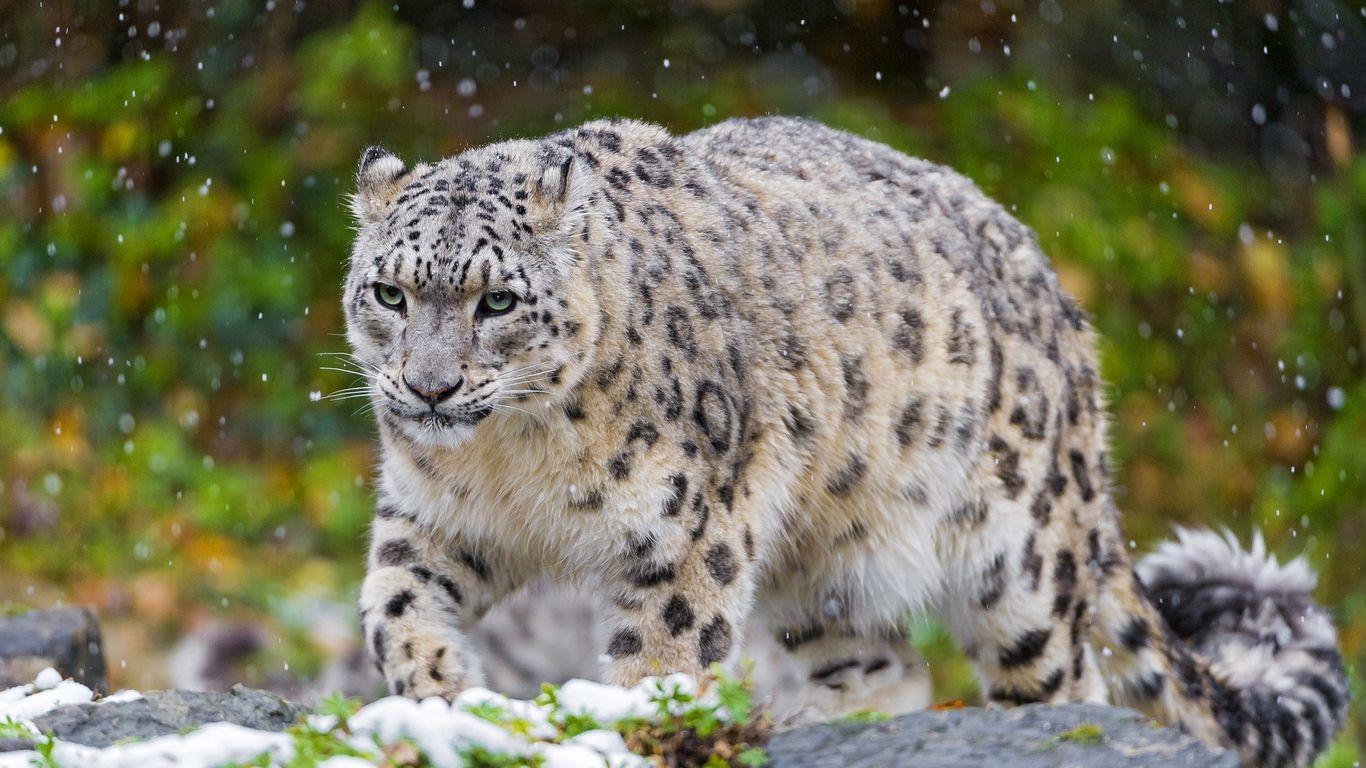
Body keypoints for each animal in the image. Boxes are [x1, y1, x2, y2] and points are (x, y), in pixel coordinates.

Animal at [342, 116, 1347, 766]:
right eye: (389, 292)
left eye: (496, 300)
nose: (428, 386)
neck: (513, 461)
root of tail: (1064, 309)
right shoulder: (433, 517)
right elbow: (391, 606)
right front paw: (440, 693)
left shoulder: (684, 536)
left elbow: (662, 659)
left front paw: (626, 728)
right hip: (825, 565)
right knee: (888, 666)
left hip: (1021, 561)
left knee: (1072, 681)